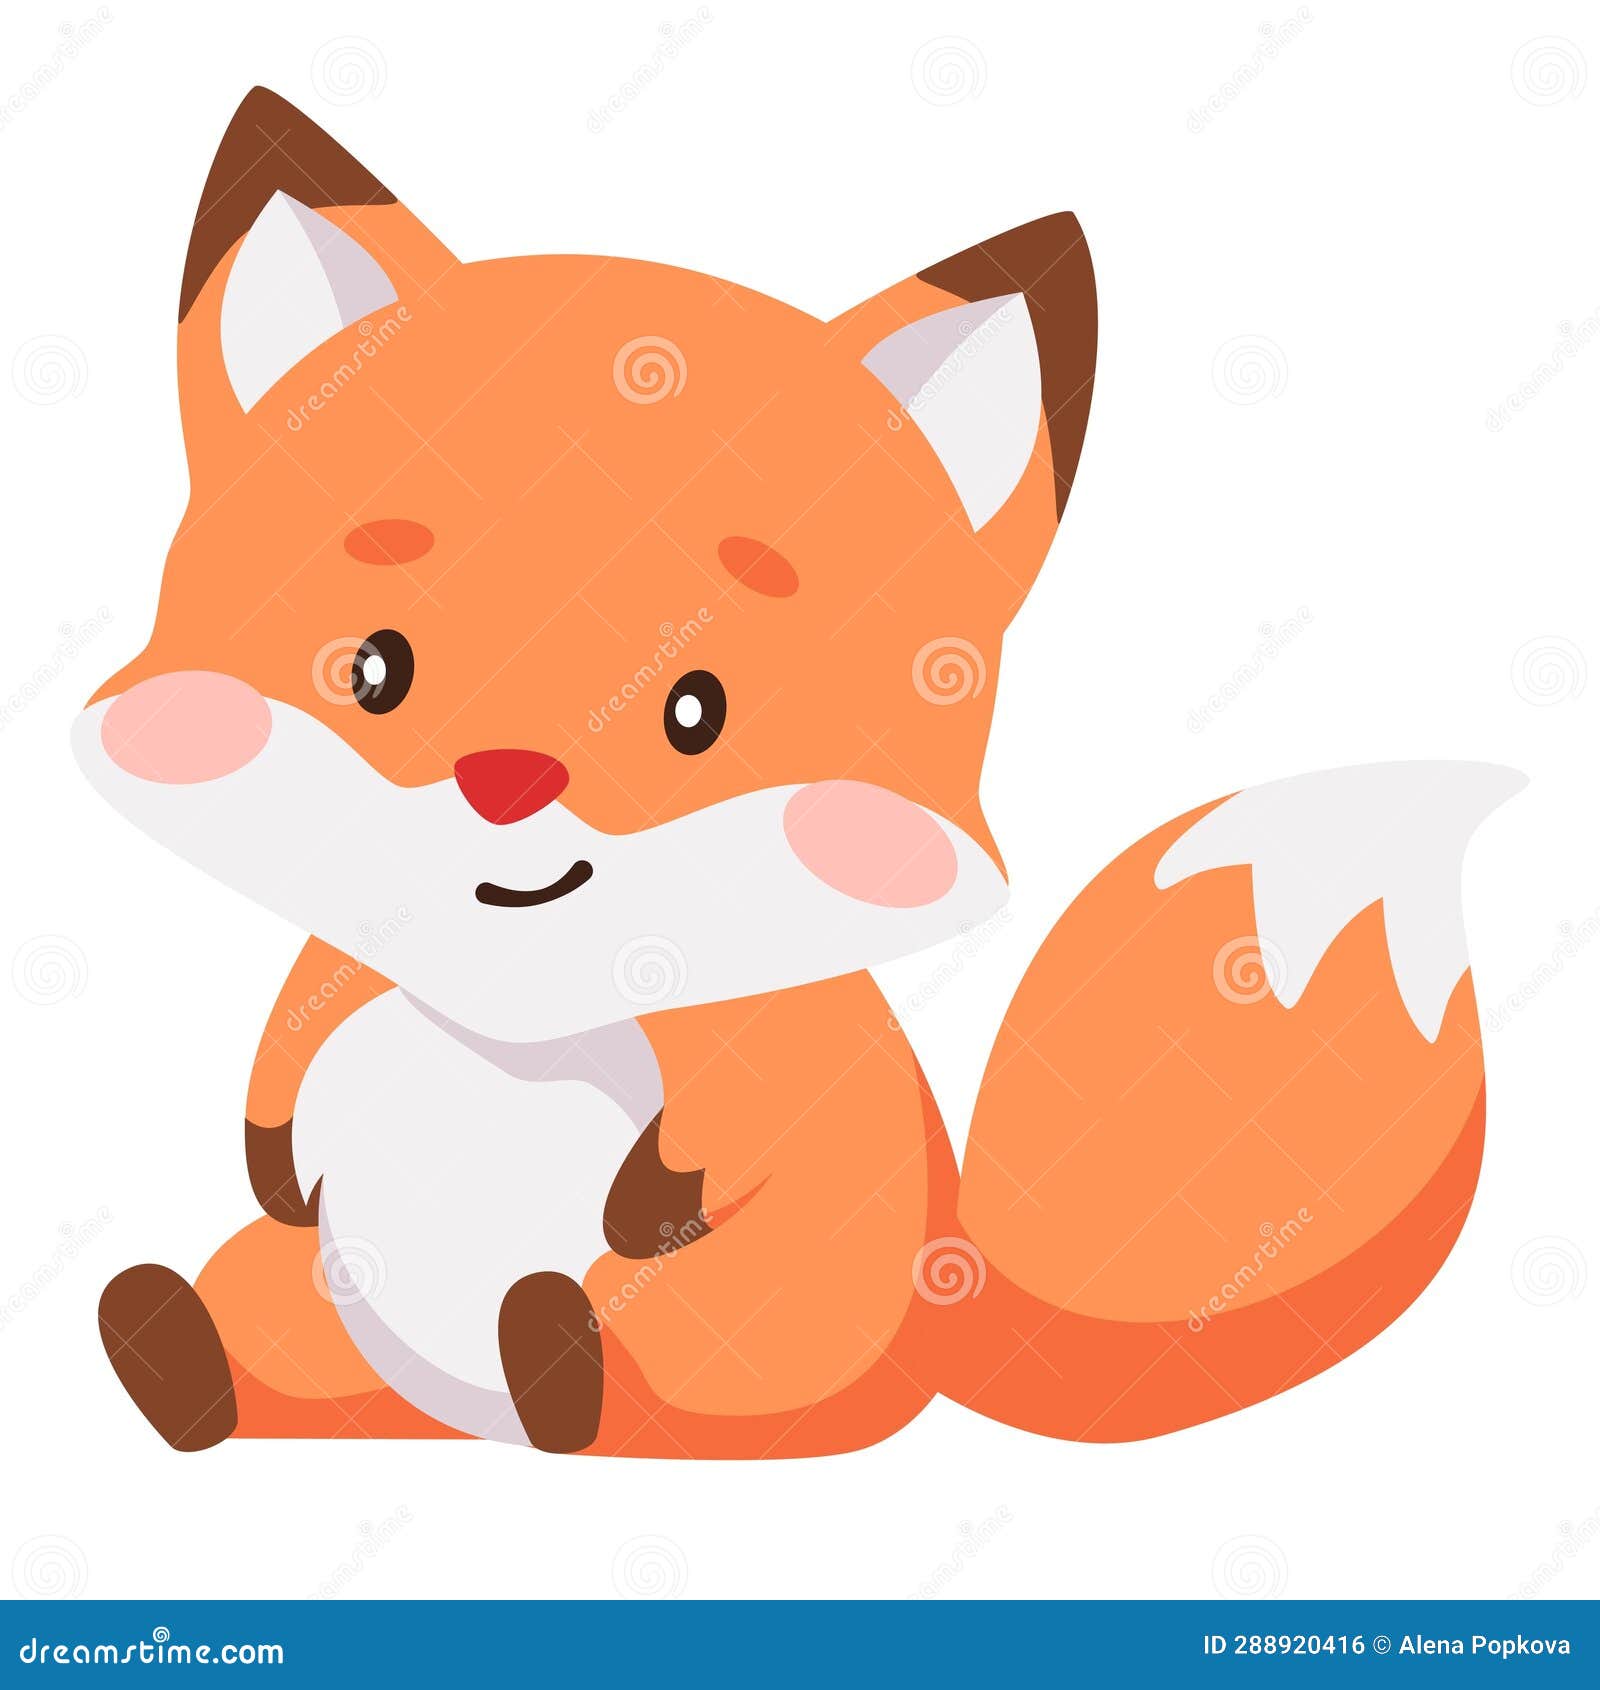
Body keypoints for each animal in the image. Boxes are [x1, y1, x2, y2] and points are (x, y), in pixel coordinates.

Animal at [75, 88, 1519, 1457]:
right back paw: (175, 1348)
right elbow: (290, 1067)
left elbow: (714, 1135)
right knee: (273, 1331)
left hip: (750, 1322)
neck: (515, 1016)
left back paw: (560, 1365)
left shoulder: (748, 1058)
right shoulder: (339, 989)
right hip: (319, 1290)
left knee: (656, 1372)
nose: (506, 780)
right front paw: (259, 1151)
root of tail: (953, 1286)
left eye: (695, 710)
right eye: (374, 670)